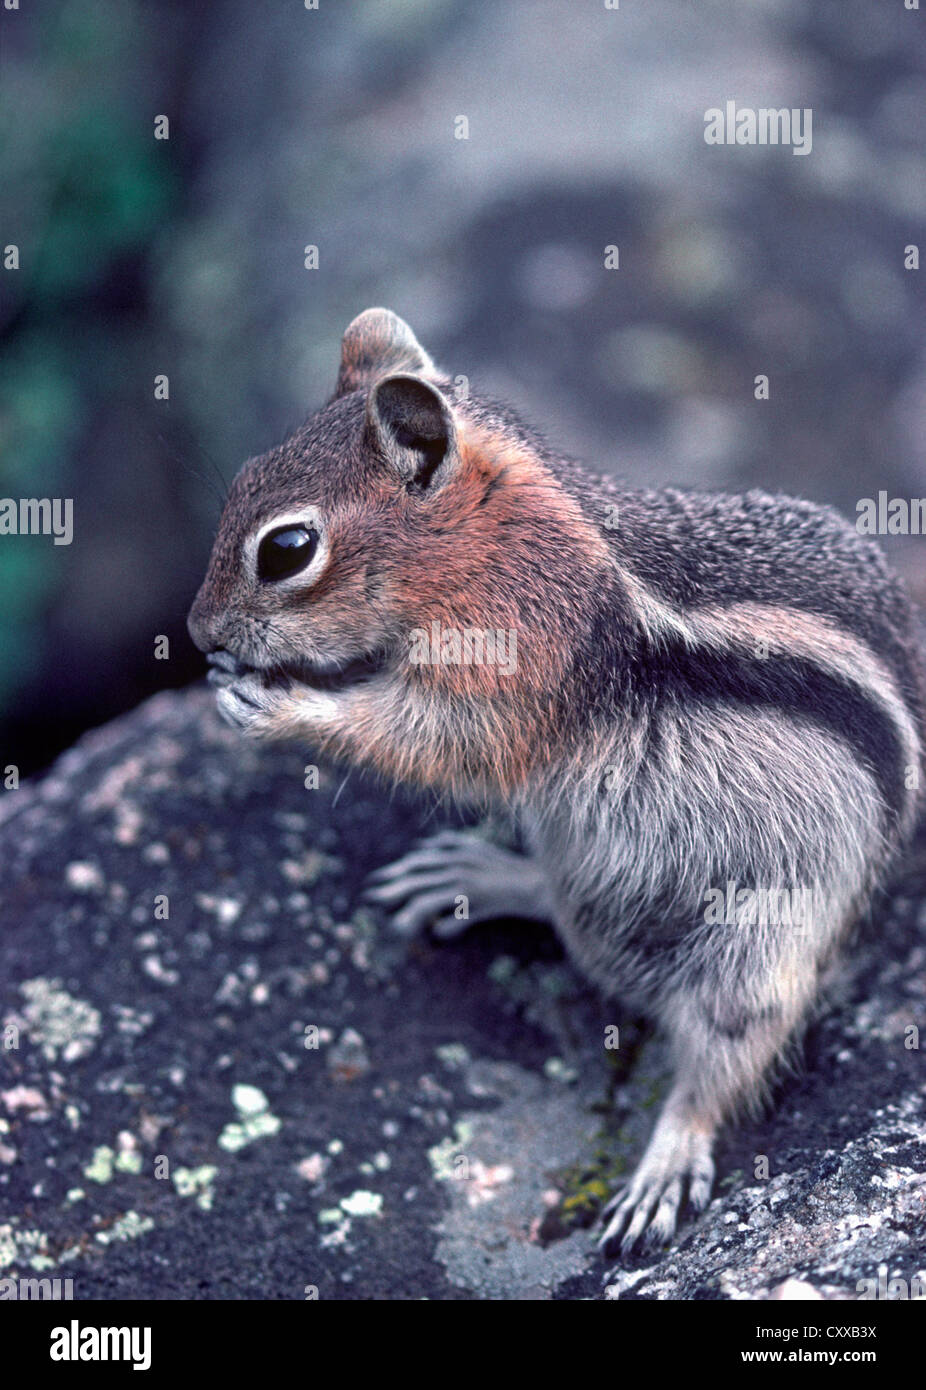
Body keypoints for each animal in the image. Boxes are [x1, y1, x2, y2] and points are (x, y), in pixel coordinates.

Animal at [188, 308, 926, 1256]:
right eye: (243, 475)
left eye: (286, 550)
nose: (197, 631)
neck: (491, 542)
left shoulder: (516, 667)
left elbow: (433, 742)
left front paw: (276, 706)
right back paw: (483, 875)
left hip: (762, 950)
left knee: (721, 1063)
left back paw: (662, 1165)